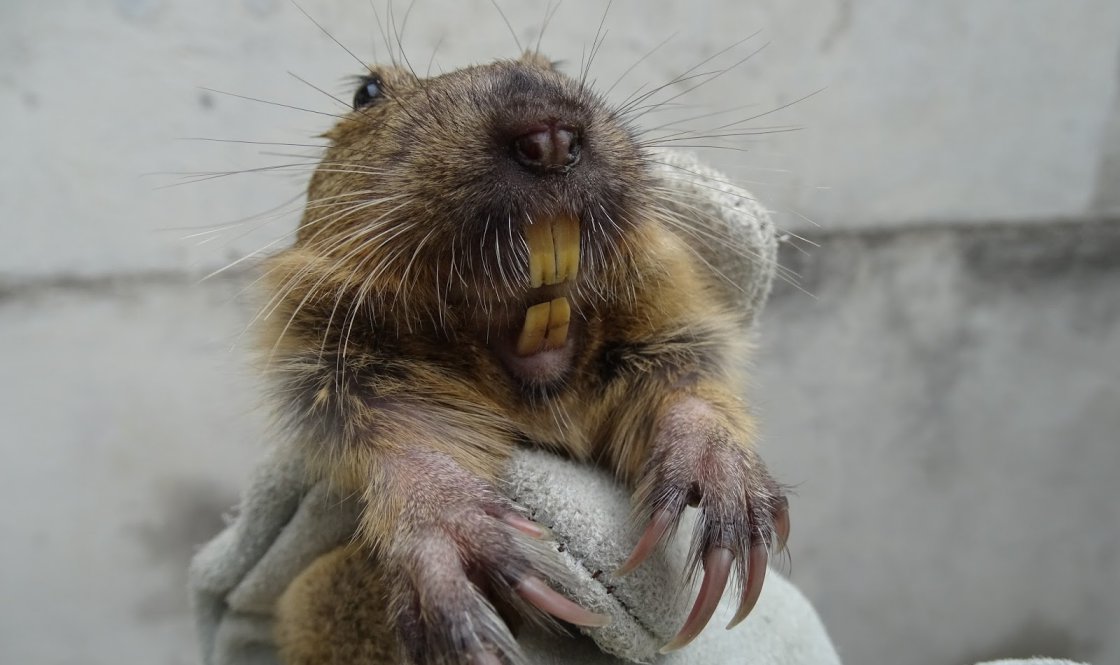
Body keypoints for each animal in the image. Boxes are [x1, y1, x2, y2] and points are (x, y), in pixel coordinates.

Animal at [259, 50, 790, 665]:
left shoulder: (671, 315)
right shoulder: (327, 351)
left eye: (551, 63)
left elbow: (686, 373)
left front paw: (722, 473)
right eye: (365, 93)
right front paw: (449, 539)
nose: (549, 133)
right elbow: (386, 425)